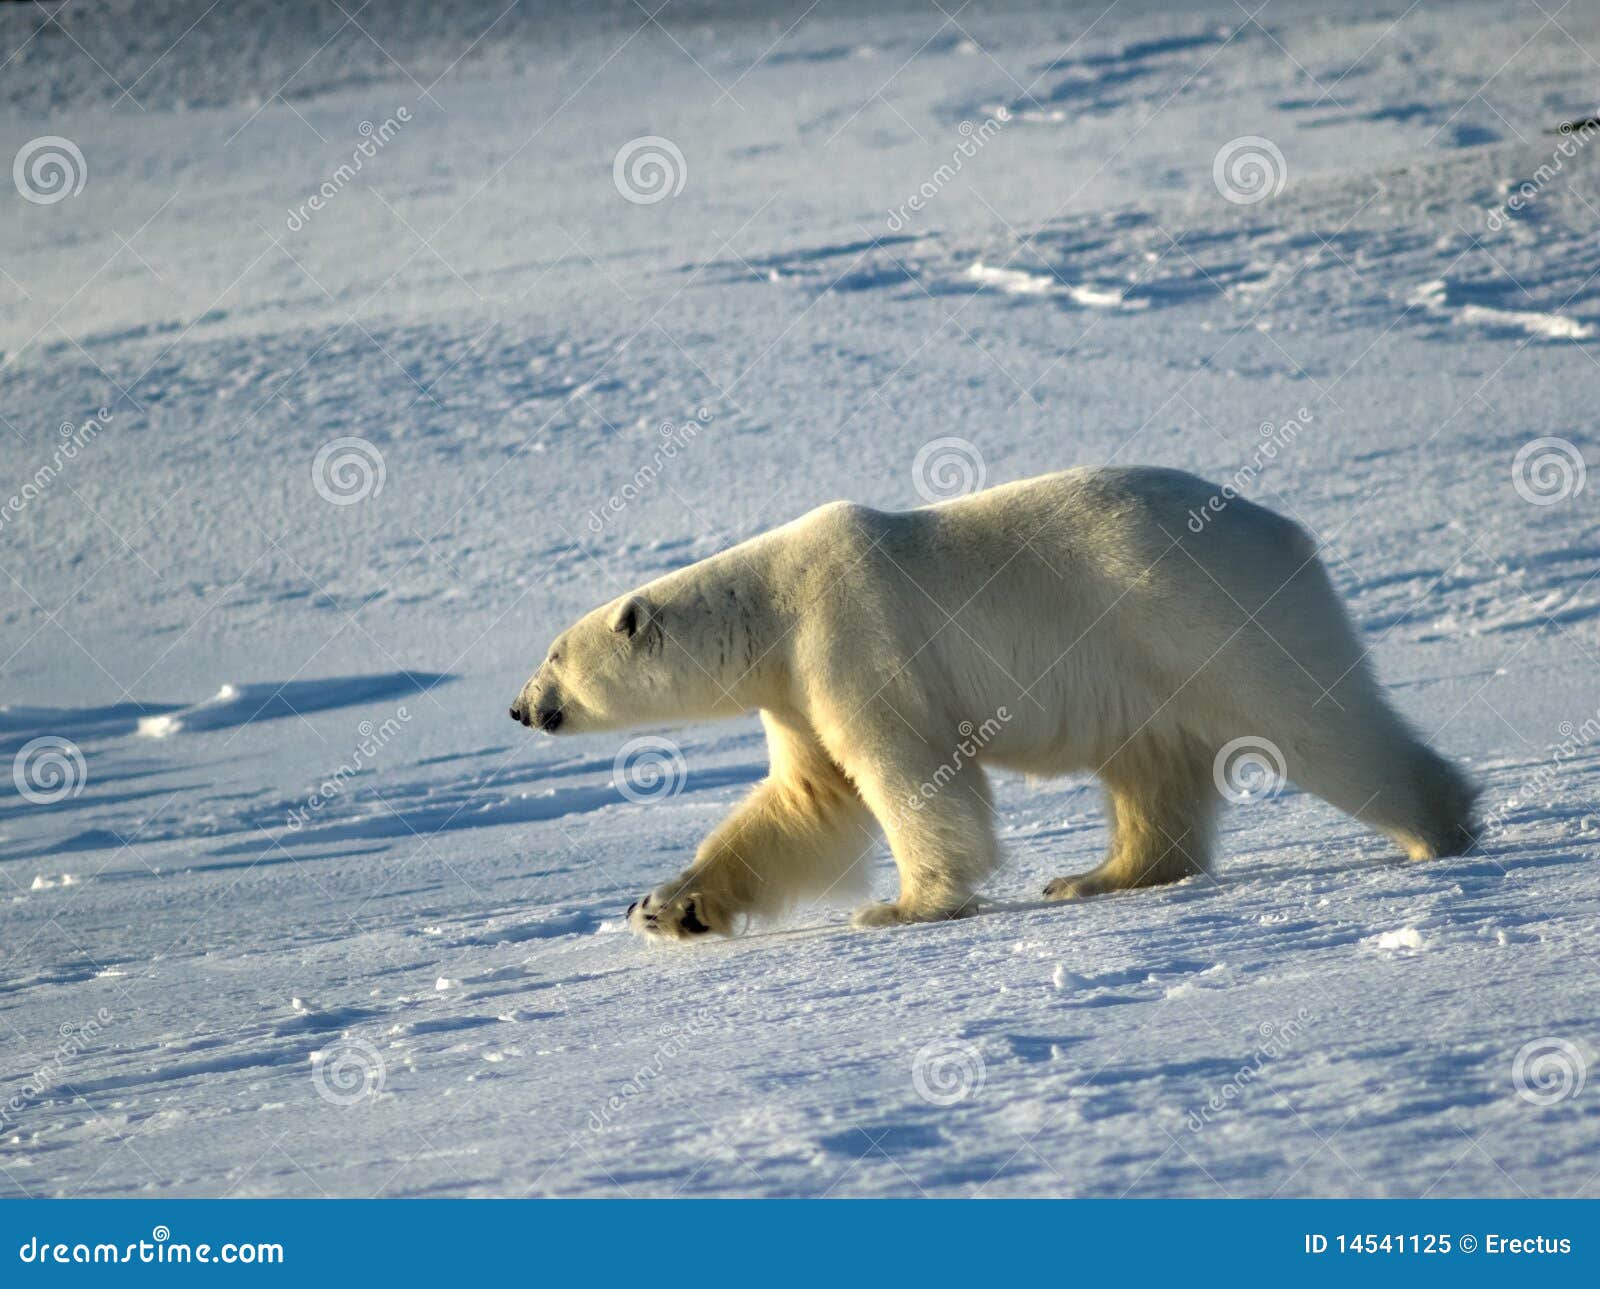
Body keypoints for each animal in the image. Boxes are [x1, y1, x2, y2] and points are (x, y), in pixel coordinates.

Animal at [509, 466, 1477, 941]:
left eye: (552, 654)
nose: (519, 708)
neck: (773, 608)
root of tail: (1285, 528)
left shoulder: (853, 634)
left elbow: (904, 770)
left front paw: (904, 906)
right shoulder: (795, 690)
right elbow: (805, 802)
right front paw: (665, 907)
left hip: (1201, 611)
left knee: (1311, 720)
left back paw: (1440, 827)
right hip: (1146, 663)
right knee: (1151, 769)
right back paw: (1096, 874)